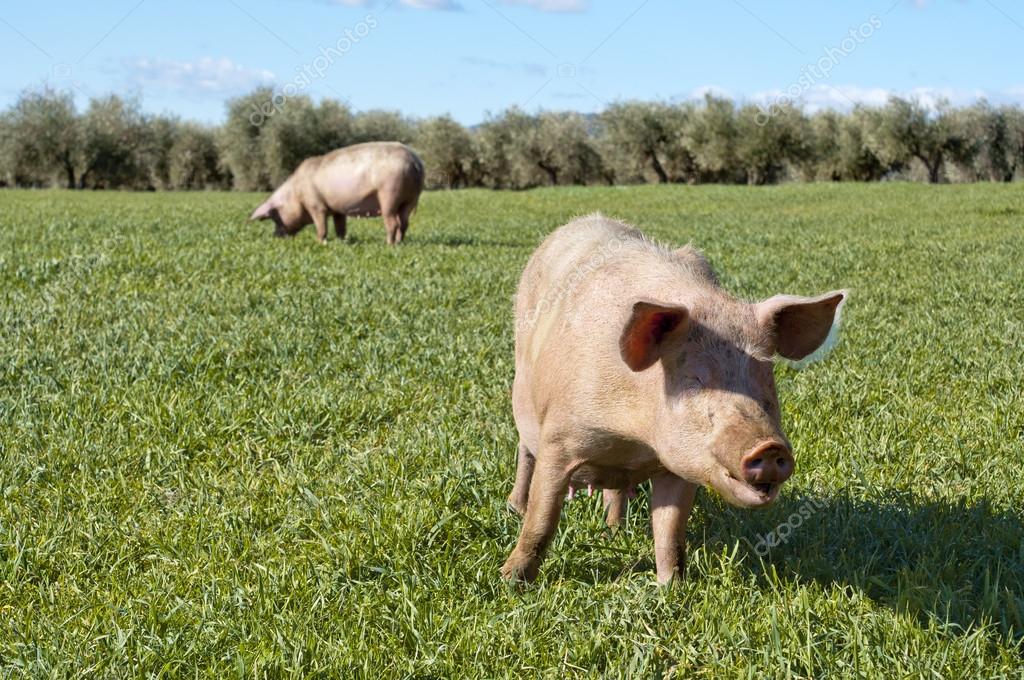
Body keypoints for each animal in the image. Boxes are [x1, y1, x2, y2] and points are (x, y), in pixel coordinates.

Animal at [249, 141, 424, 246]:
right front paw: (342, 242)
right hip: (411, 198)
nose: (275, 236)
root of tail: (414, 161)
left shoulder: (316, 205)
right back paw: (400, 243)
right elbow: (340, 227)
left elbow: (321, 227)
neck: (295, 195)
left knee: (393, 222)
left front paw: (320, 243)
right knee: (404, 223)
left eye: (276, 218)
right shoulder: (337, 210)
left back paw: (388, 244)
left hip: (389, 193)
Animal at [502, 214, 846, 584]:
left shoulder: (681, 463)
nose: (769, 448)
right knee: (525, 453)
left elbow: (670, 532)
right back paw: (514, 507)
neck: (634, 438)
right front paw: (510, 580)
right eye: (693, 380)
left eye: (766, 376)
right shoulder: (559, 439)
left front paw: (672, 587)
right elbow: (542, 519)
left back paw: (615, 531)